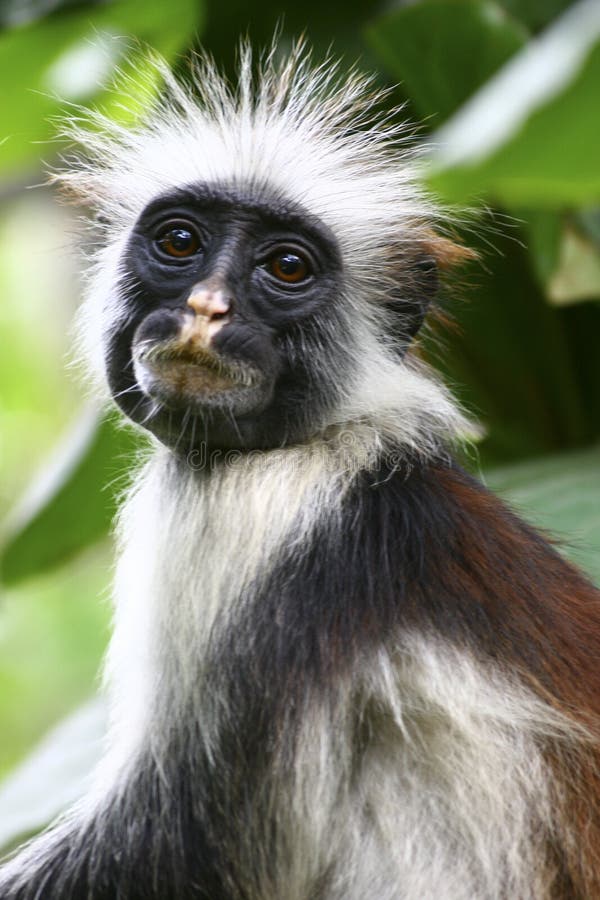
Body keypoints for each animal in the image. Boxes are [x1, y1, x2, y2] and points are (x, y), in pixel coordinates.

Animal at [1, 41, 600, 900]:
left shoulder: (255, 515)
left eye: (286, 266)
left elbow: (184, 840)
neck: (325, 439)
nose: (208, 307)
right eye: (179, 243)